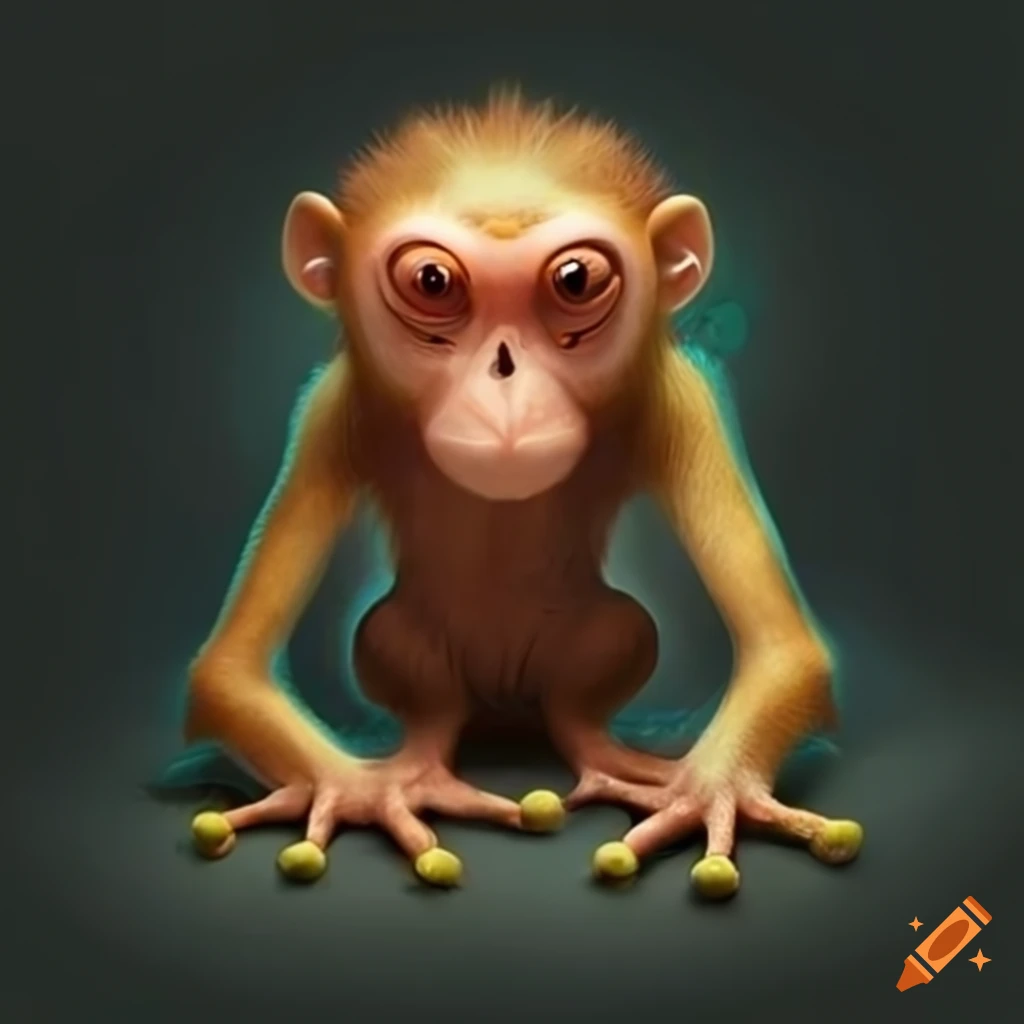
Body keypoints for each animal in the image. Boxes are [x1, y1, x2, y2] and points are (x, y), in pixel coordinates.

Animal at [182, 87, 863, 898]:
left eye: (575, 280)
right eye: (433, 282)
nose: (504, 374)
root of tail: (505, 708)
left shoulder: (685, 399)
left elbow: (784, 649)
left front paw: (706, 793)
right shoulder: (329, 413)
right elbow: (229, 670)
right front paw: (359, 793)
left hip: (587, 646)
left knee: (600, 662)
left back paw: (600, 753)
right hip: (409, 652)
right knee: (418, 680)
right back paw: (421, 764)